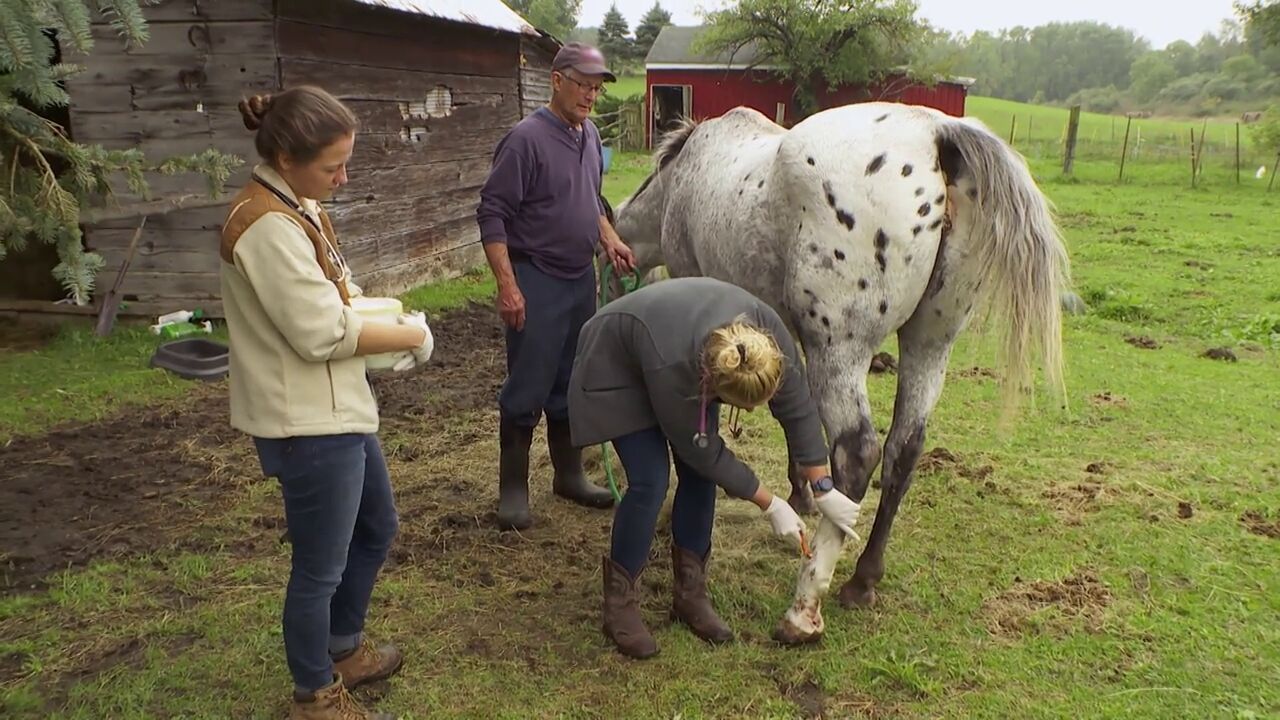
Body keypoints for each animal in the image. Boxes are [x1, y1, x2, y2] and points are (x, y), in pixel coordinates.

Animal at [611, 101, 1070, 643]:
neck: (683, 177)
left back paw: (804, 607)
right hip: (929, 344)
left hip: (843, 352)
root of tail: (937, 134)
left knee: (858, 452)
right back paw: (862, 580)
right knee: (903, 450)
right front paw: (801, 493)